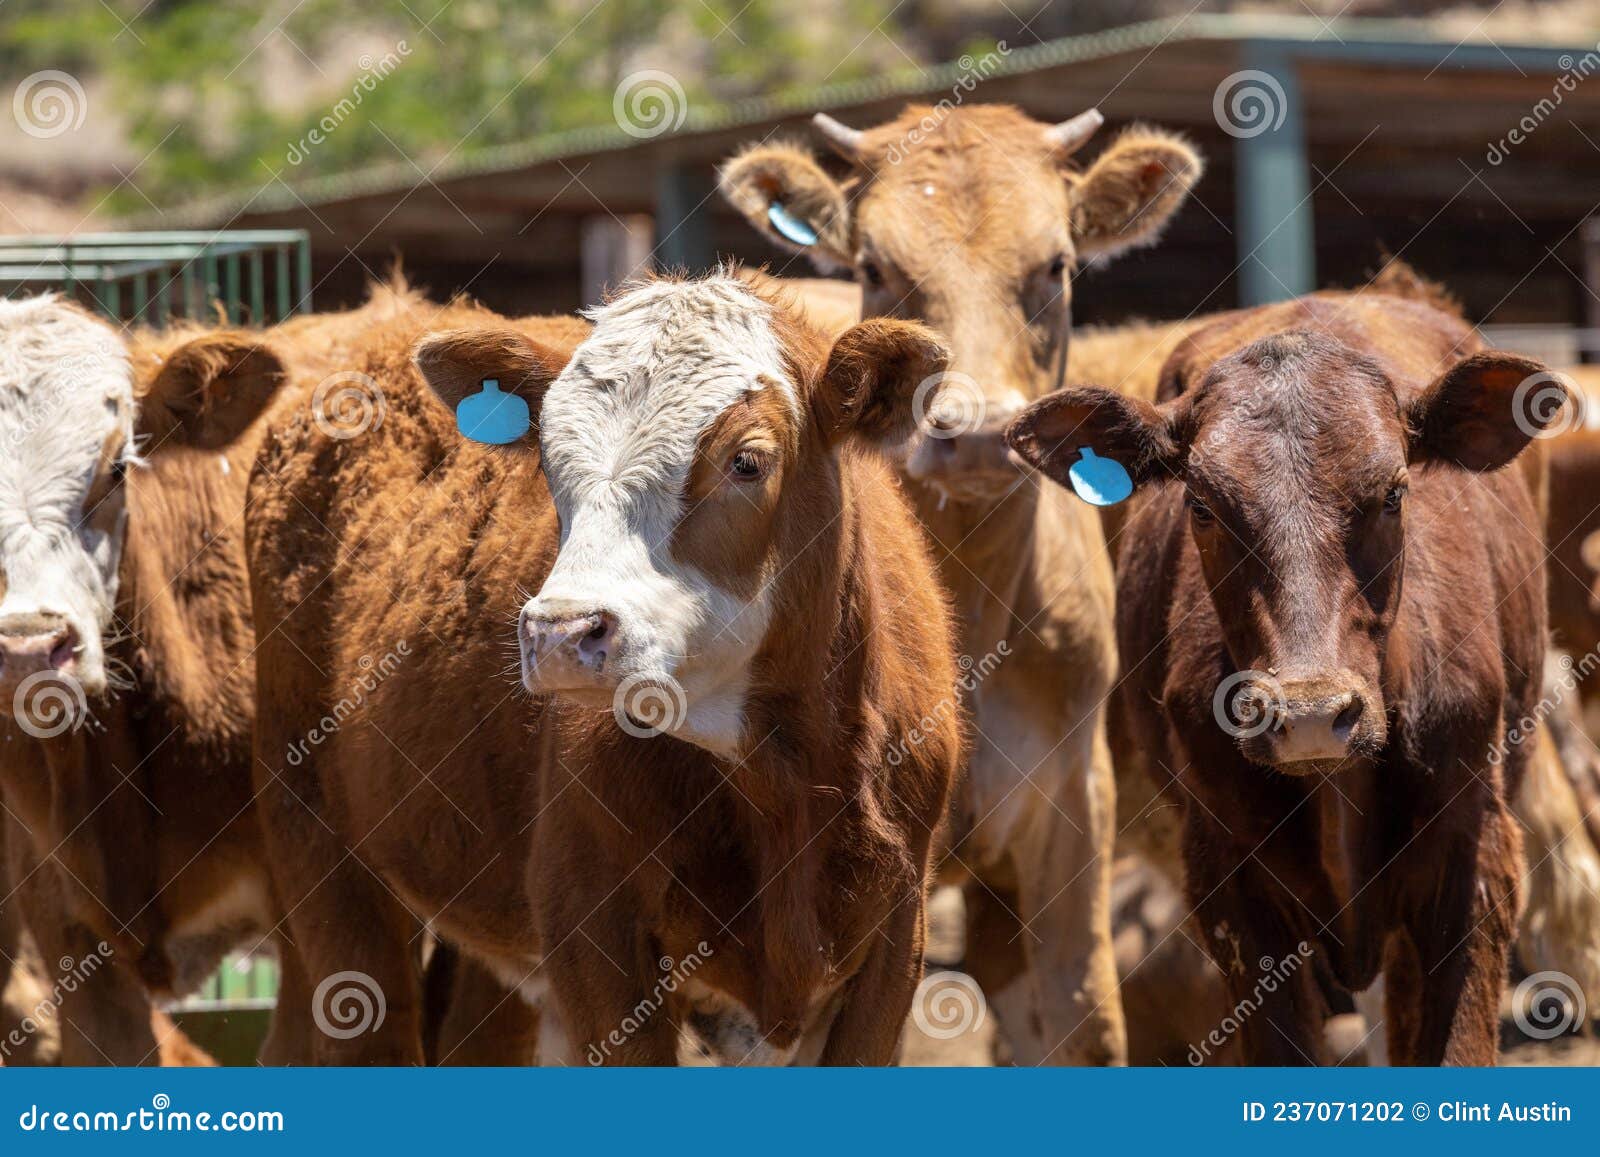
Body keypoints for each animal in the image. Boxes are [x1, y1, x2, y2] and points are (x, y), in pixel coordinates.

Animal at [244, 272, 963, 1065]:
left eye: (747, 460)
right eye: (548, 462)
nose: (561, 631)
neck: (781, 781)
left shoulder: (895, 937)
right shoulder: (593, 931)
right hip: (314, 841)